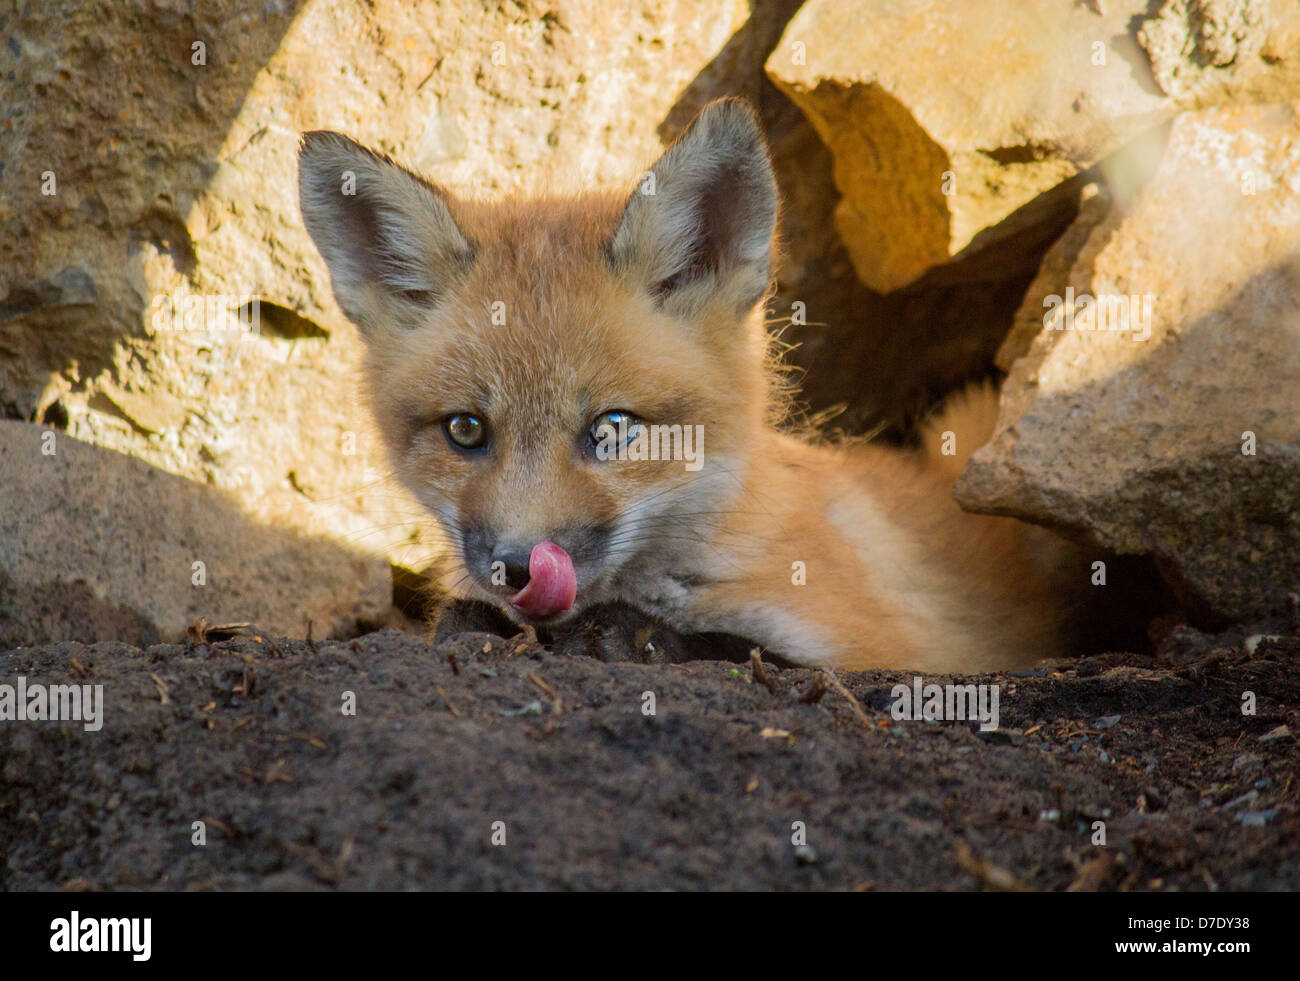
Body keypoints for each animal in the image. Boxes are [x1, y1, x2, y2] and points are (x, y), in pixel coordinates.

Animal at [297, 97, 1086, 673]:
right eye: (465, 430)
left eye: (612, 429)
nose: (518, 567)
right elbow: (459, 619)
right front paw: (481, 623)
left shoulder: (904, 650)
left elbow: (744, 649)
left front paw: (632, 634)